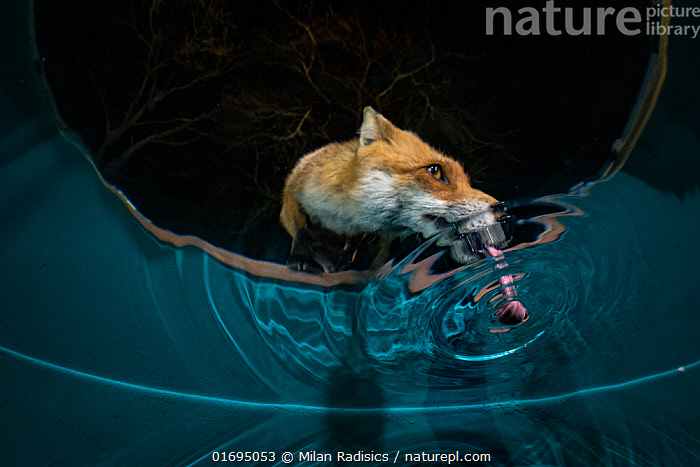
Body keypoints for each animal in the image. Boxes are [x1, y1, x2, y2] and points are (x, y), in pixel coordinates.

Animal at [280, 106, 499, 273]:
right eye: (435, 171)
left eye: (467, 181)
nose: (502, 210)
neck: (341, 217)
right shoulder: (294, 188)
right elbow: (300, 228)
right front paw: (301, 255)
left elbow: (356, 245)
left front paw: (349, 259)